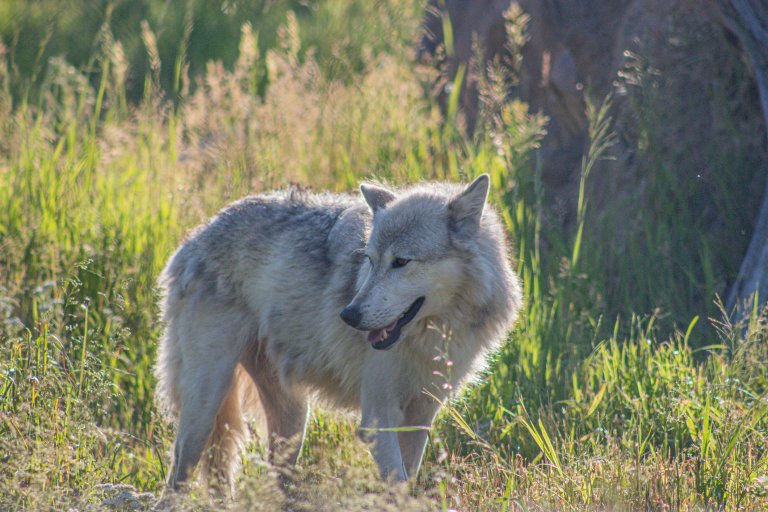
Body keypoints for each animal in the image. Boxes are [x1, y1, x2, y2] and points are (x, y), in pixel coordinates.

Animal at [155, 174, 522, 493]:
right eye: (370, 260)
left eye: (401, 262)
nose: (349, 315)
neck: (434, 333)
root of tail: (197, 235)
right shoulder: (377, 417)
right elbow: (398, 487)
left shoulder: (420, 418)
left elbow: (408, 482)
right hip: (204, 413)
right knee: (177, 479)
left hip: (292, 424)